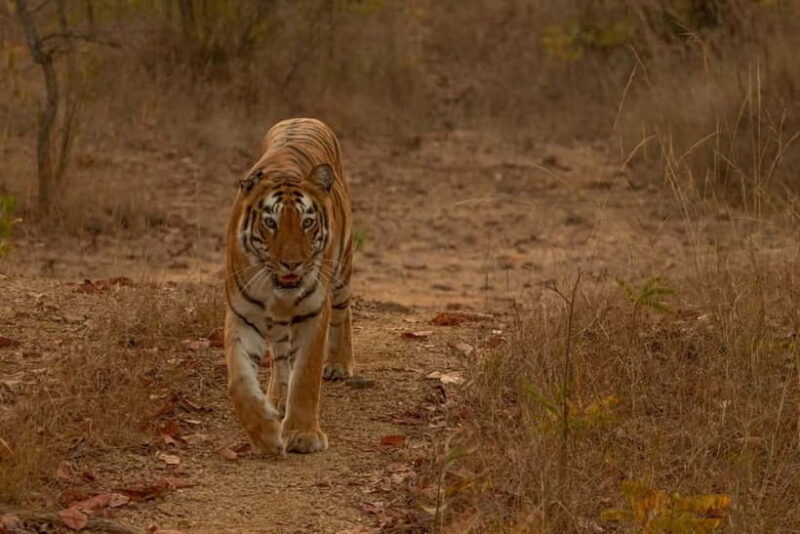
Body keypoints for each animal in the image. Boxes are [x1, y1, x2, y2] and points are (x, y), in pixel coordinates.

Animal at [224, 118, 354, 454]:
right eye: (271, 223)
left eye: (307, 222)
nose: (292, 264)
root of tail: (305, 118)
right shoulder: (243, 314)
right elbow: (239, 381)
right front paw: (265, 434)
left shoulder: (313, 311)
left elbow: (306, 375)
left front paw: (303, 435)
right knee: (281, 355)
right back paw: (278, 399)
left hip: (342, 271)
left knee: (342, 313)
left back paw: (338, 364)